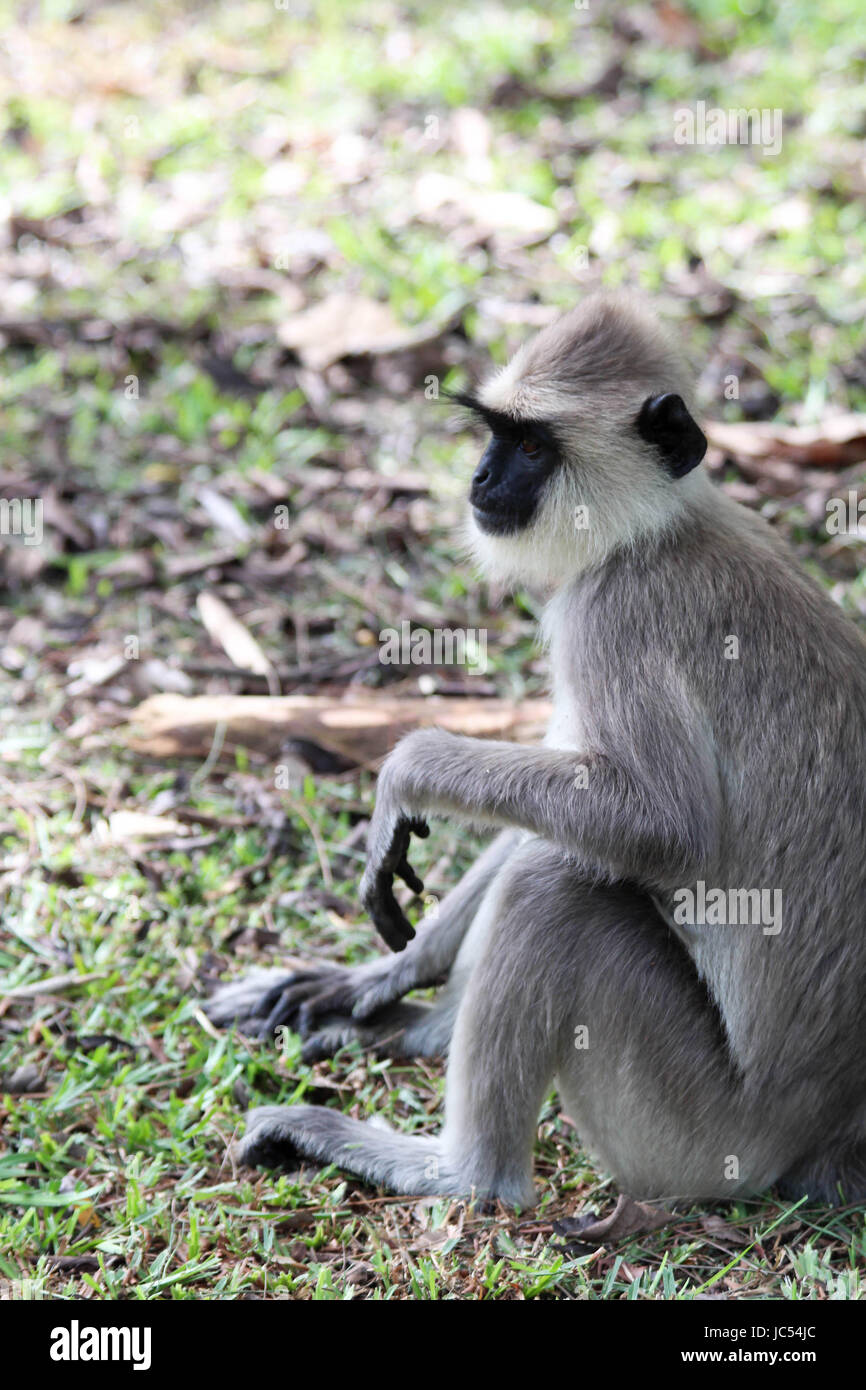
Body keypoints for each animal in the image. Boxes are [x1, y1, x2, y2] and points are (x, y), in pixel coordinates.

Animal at [206, 292, 866, 1207]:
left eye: (529, 447)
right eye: (493, 435)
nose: (479, 481)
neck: (657, 531)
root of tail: (820, 1138)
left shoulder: (611, 611)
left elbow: (662, 826)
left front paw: (408, 768)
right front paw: (381, 976)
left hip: (701, 1137)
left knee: (556, 887)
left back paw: (456, 1172)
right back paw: (418, 1029)